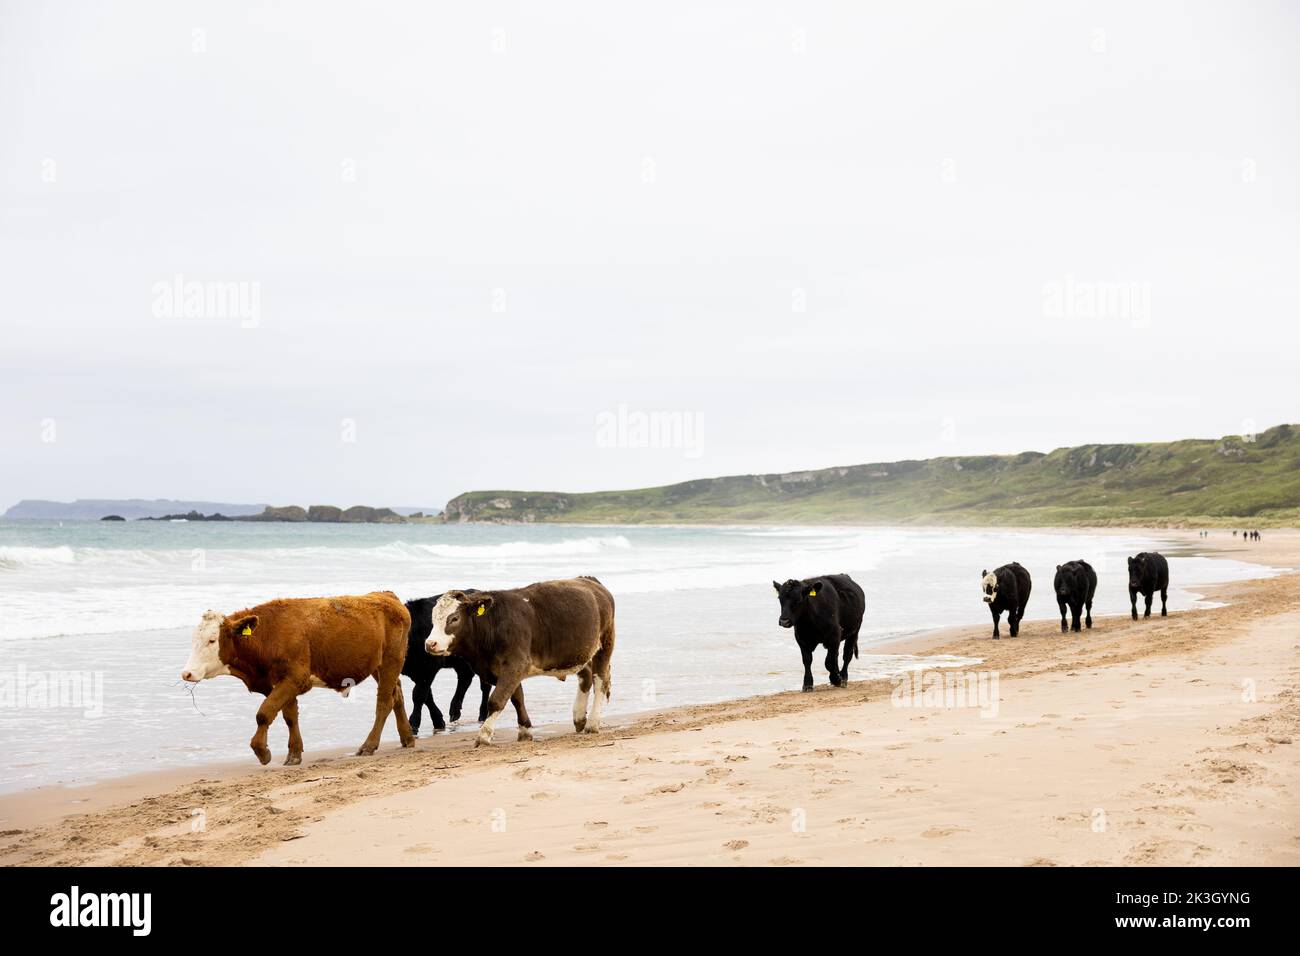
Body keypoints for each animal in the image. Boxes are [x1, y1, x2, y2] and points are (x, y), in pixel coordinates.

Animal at [181, 591, 414, 765]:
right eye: (193, 640)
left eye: (212, 640)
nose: (187, 673)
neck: (269, 634)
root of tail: (386, 595)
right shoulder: (282, 682)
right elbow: (289, 716)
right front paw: (294, 753)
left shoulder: (295, 678)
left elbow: (264, 713)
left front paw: (262, 752)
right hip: (378, 667)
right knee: (397, 696)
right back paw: (407, 738)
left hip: (391, 661)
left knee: (384, 702)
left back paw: (369, 745)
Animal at [403, 594, 492, 735]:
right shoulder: (415, 671)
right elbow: (428, 695)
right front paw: (438, 721)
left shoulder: (430, 667)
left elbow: (419, 694)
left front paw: (413, 724)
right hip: (460, 662)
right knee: (465, 678)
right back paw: (455, 711)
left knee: (484, 686)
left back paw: (483, 715)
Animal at [423, 576, 616, 747]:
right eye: (432, 619)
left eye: (454, 618)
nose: (430, 643)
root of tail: (590, 581)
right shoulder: (504, 670)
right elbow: (517, 698)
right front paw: (525, 731)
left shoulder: (515, 664)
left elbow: (496, 700)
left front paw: (484, 736)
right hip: (579, 653)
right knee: (586, 676)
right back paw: (579, 718)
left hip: (605, 644)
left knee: (600, 680)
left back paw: (592, 723)